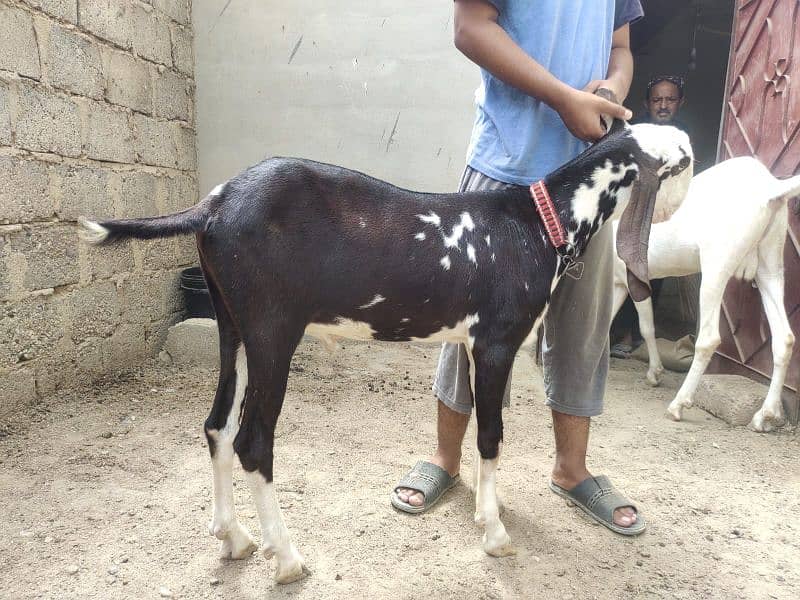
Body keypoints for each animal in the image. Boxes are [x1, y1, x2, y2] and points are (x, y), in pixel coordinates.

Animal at [78, 122, 691, 583]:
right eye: (684, 159)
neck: (536, 221)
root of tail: (213, 203)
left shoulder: (469, 344)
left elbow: (476, 426)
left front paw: (481, 513)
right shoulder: (497, 341)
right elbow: (492, 435)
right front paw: (495, 534)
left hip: (234, 326)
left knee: (217, 426)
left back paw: (233, 537)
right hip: (273, 330)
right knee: (253, 440)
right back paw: (288, 558)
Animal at [611, 156, 799, 432]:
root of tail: (770, 189)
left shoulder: (631, 279)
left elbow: (645, 326)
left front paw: (654, 373)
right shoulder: (618, 282)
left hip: (716, 265)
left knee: (709, 338)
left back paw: (678, 405)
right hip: (770, 265)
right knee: (784, 338)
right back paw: (766, 415)